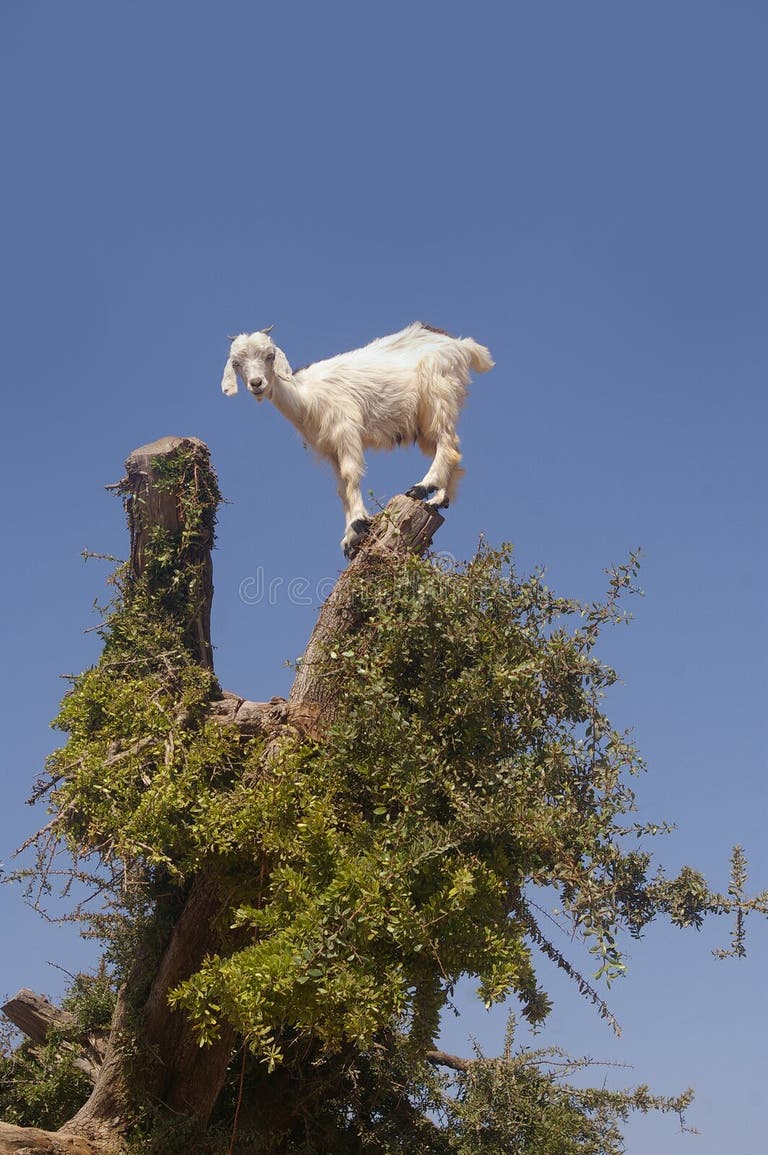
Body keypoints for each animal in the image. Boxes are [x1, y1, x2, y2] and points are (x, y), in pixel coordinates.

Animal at [221, 322, 494, 556]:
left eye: (270, 356)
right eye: (236, 363)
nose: (257, 383)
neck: (305, 397)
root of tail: (461, 345)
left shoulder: (346, 430)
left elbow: (351, 475)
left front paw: (358, 524)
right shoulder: (329, 448)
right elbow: (342, 488)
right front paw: (350, 536)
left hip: (437, 393)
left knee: (448, 443)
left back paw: (423, 487)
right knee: (451, 448)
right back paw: (438, 499)